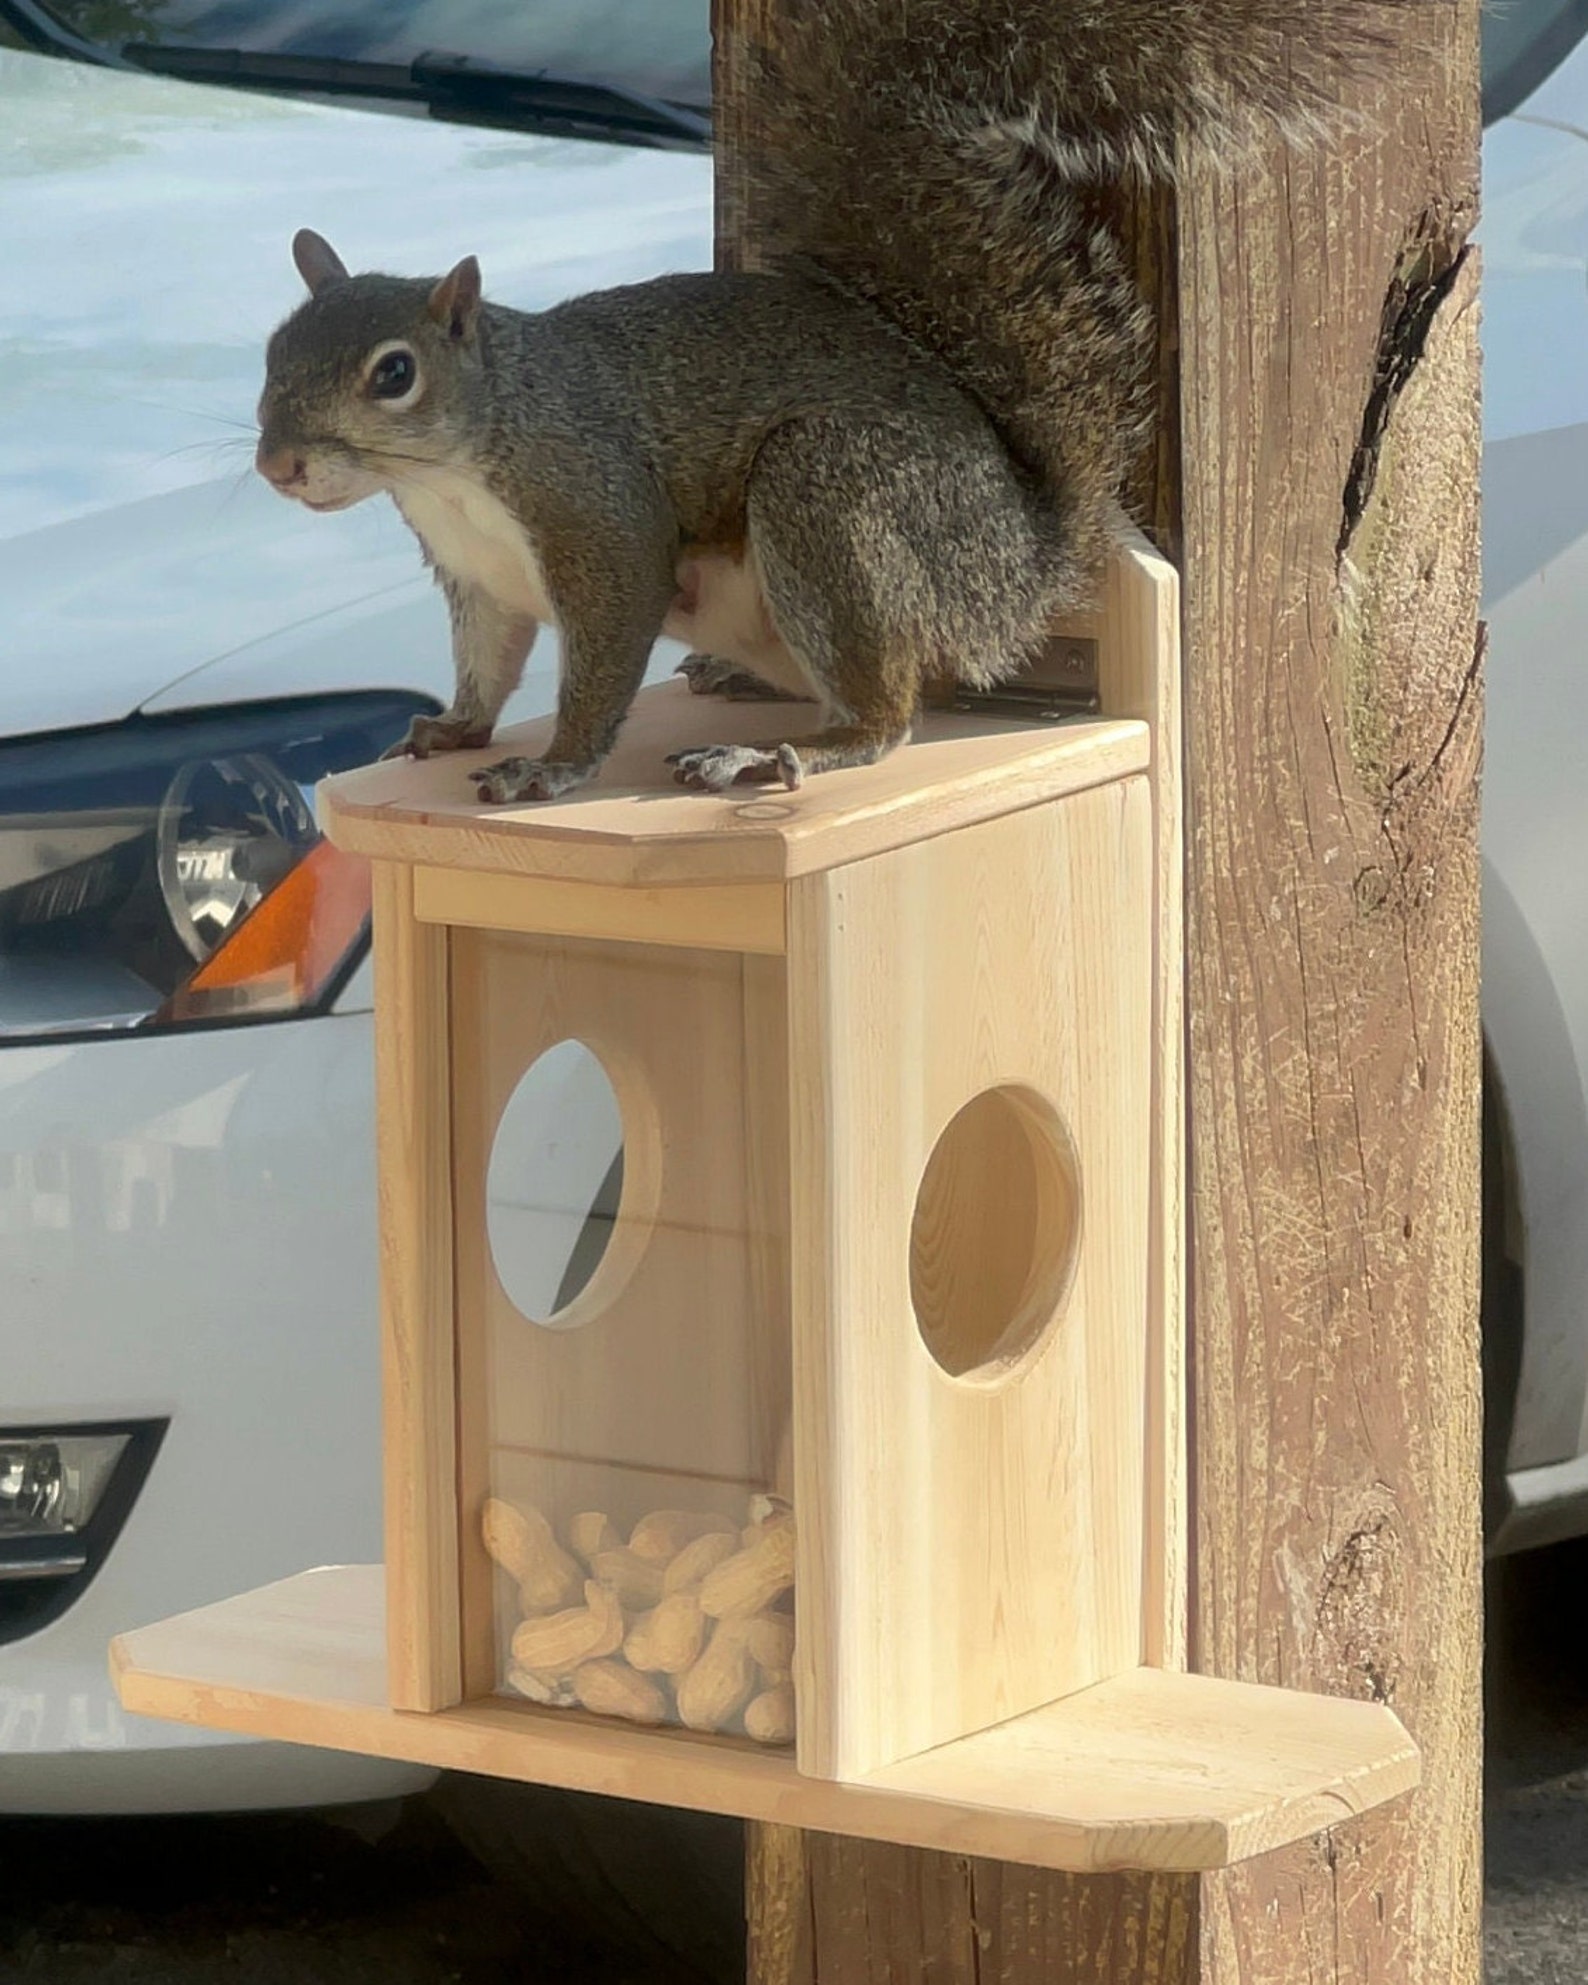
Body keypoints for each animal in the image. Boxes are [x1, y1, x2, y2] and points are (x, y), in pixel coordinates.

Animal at [255, 0, 1428, 803]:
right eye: (271, 353)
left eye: (393, 372)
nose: (275, 465)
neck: (455, 472)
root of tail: (1023, 562)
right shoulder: (479, 580)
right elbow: (488, 664)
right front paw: (456, 730)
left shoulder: (599, 517)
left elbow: (600, 661)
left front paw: (550, 769)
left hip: (831, 492)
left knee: (891, 710)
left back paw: (783, 749)